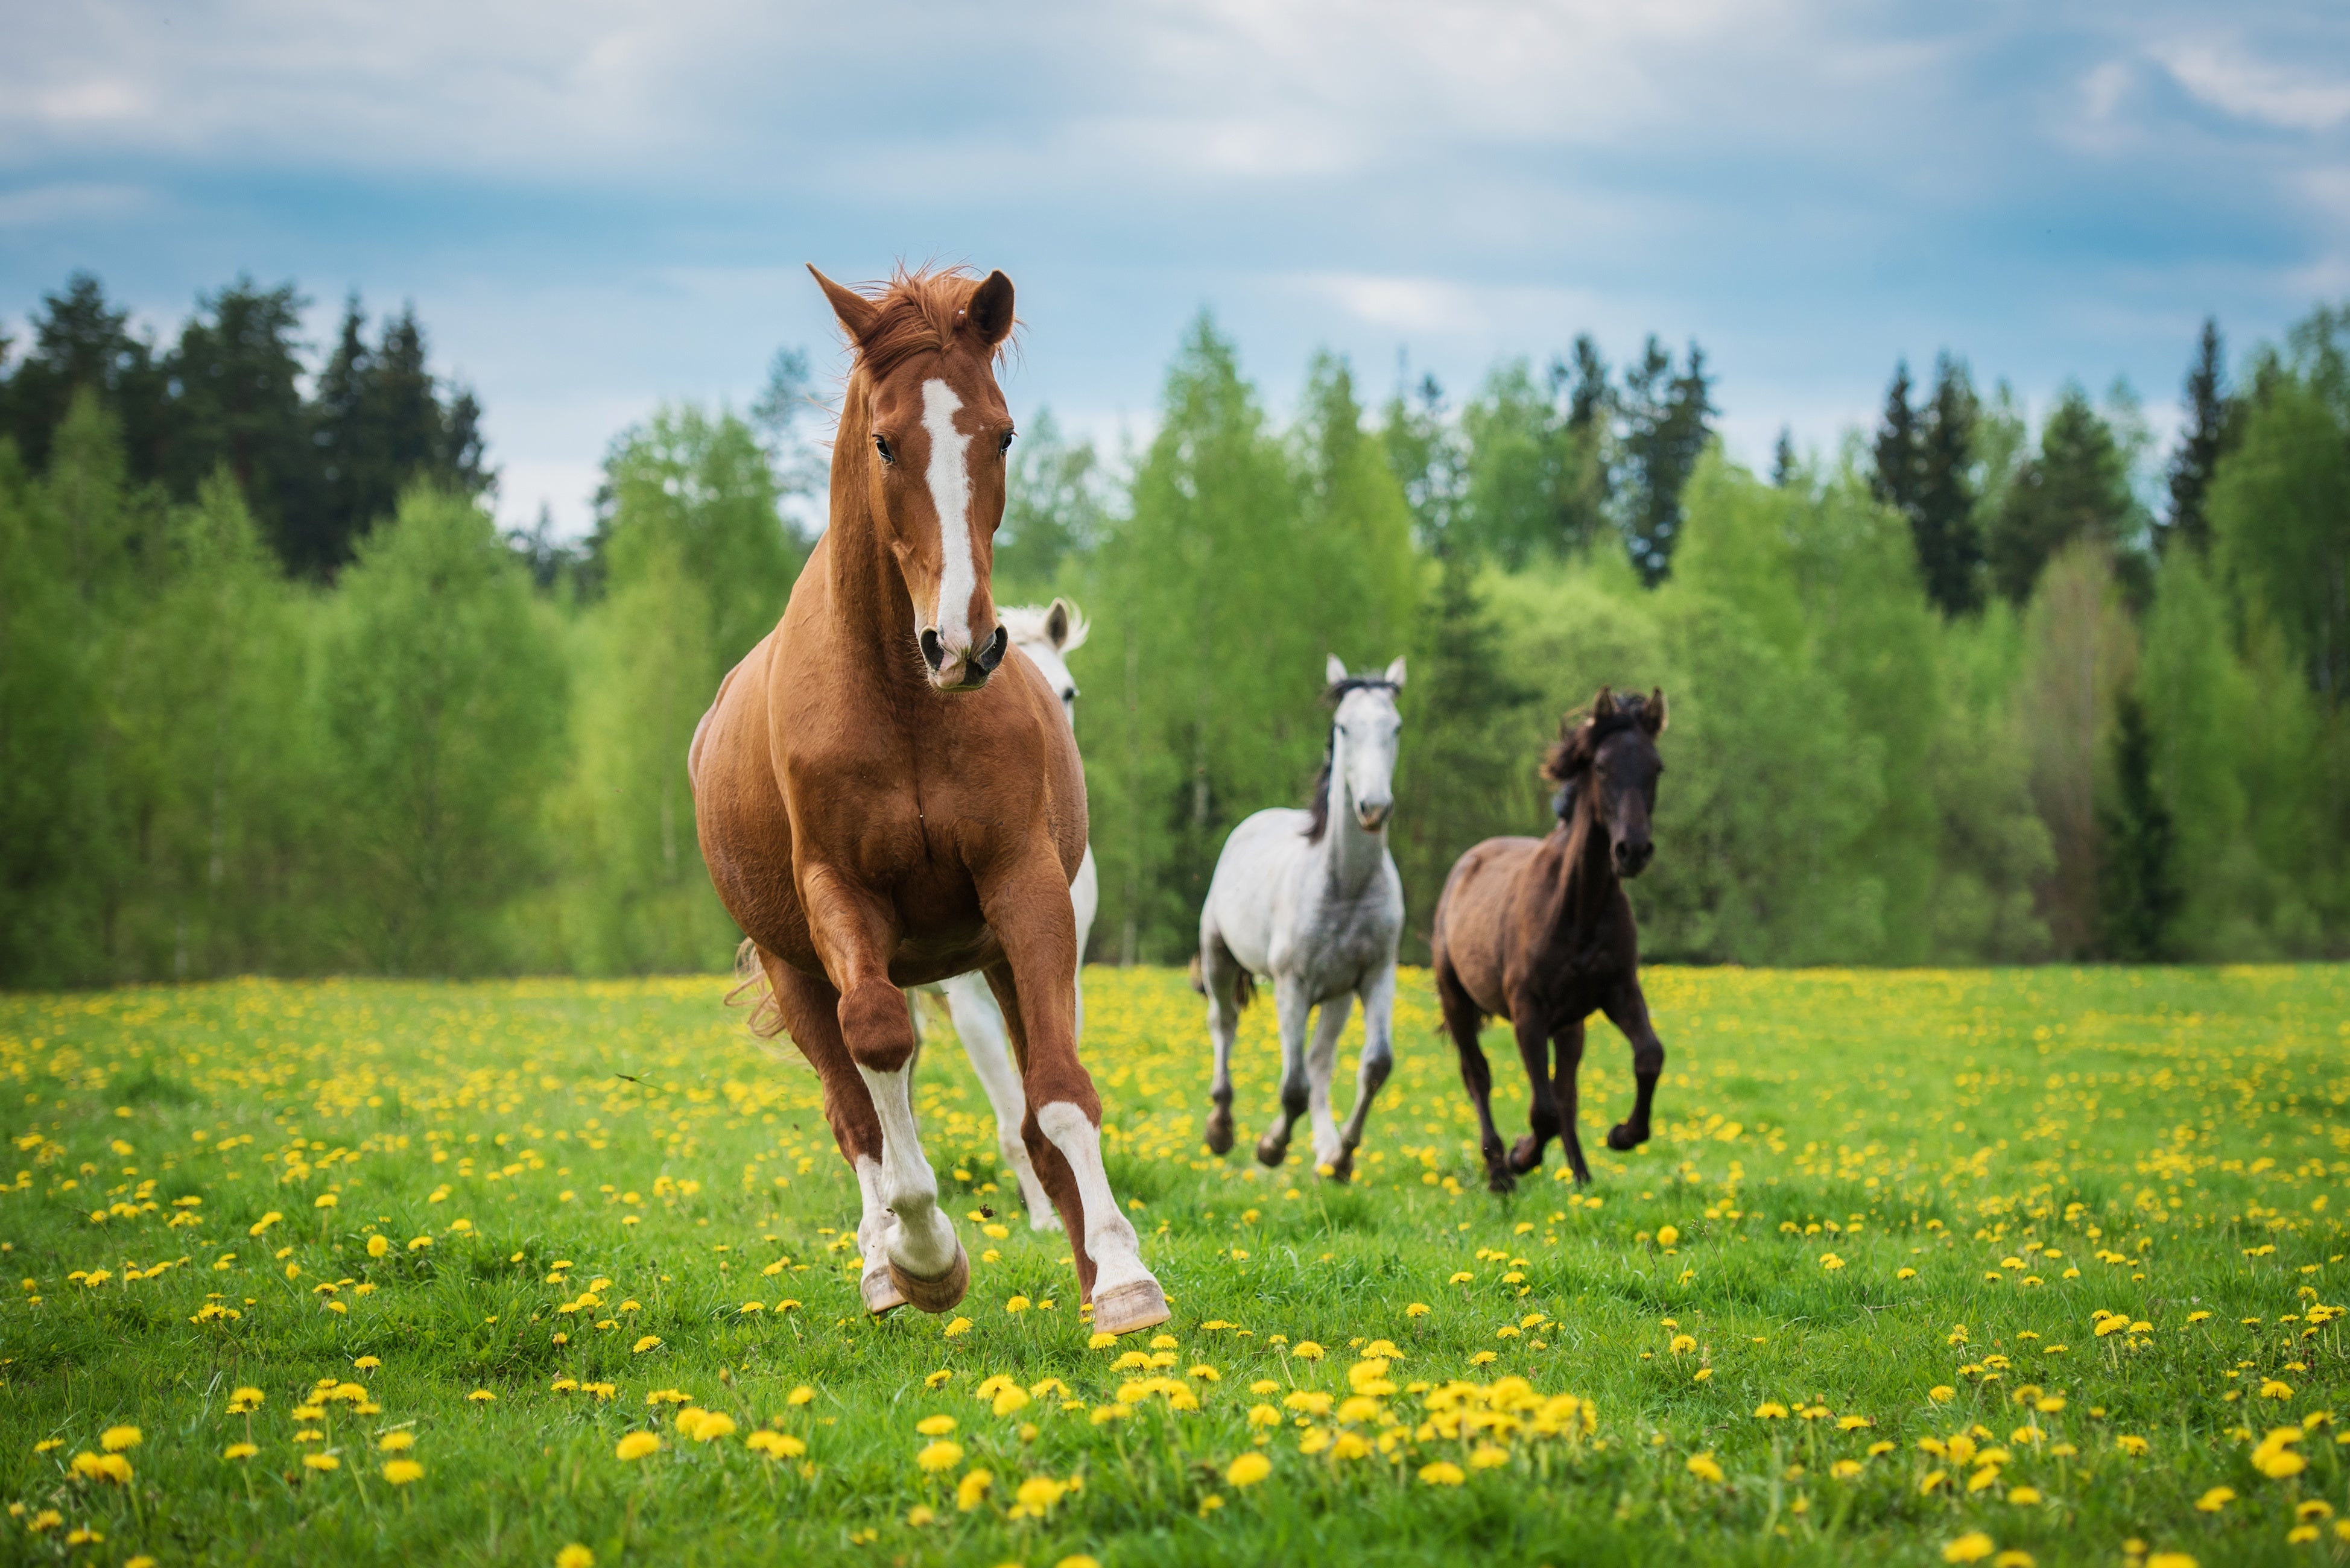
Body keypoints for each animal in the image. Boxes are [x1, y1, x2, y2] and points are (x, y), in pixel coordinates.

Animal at [1198, 655, 1406, 1180]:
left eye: (1395, 726)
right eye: (1343, 726)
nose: (1374, 808)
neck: (1345, 886)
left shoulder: (1376, 976)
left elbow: (1375, 1067)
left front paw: (1341, 1156)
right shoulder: (1292, 986)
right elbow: (1292, 1088)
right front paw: (1271, 1147)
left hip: (1338, 997)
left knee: (1319, 1060)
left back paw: (1326, 1149)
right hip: (1218, 958)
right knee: (1224, 1024)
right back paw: (1221, 1128)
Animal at [1428, 687, 1668, 1193]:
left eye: (1656, 767)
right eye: (1602, 767)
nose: (1633, 851)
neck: (1577, 908)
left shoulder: (1618, 990)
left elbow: (1648, 1057)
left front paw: (1623, 1134)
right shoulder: (1528, 1010)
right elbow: (1542, 1110)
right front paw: (1521, 1157)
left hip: (1570, 1023)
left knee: (1567, 1089)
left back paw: (1580, 1175)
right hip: (1458, 1000)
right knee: (1478, 1075)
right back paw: (1499, 1172)